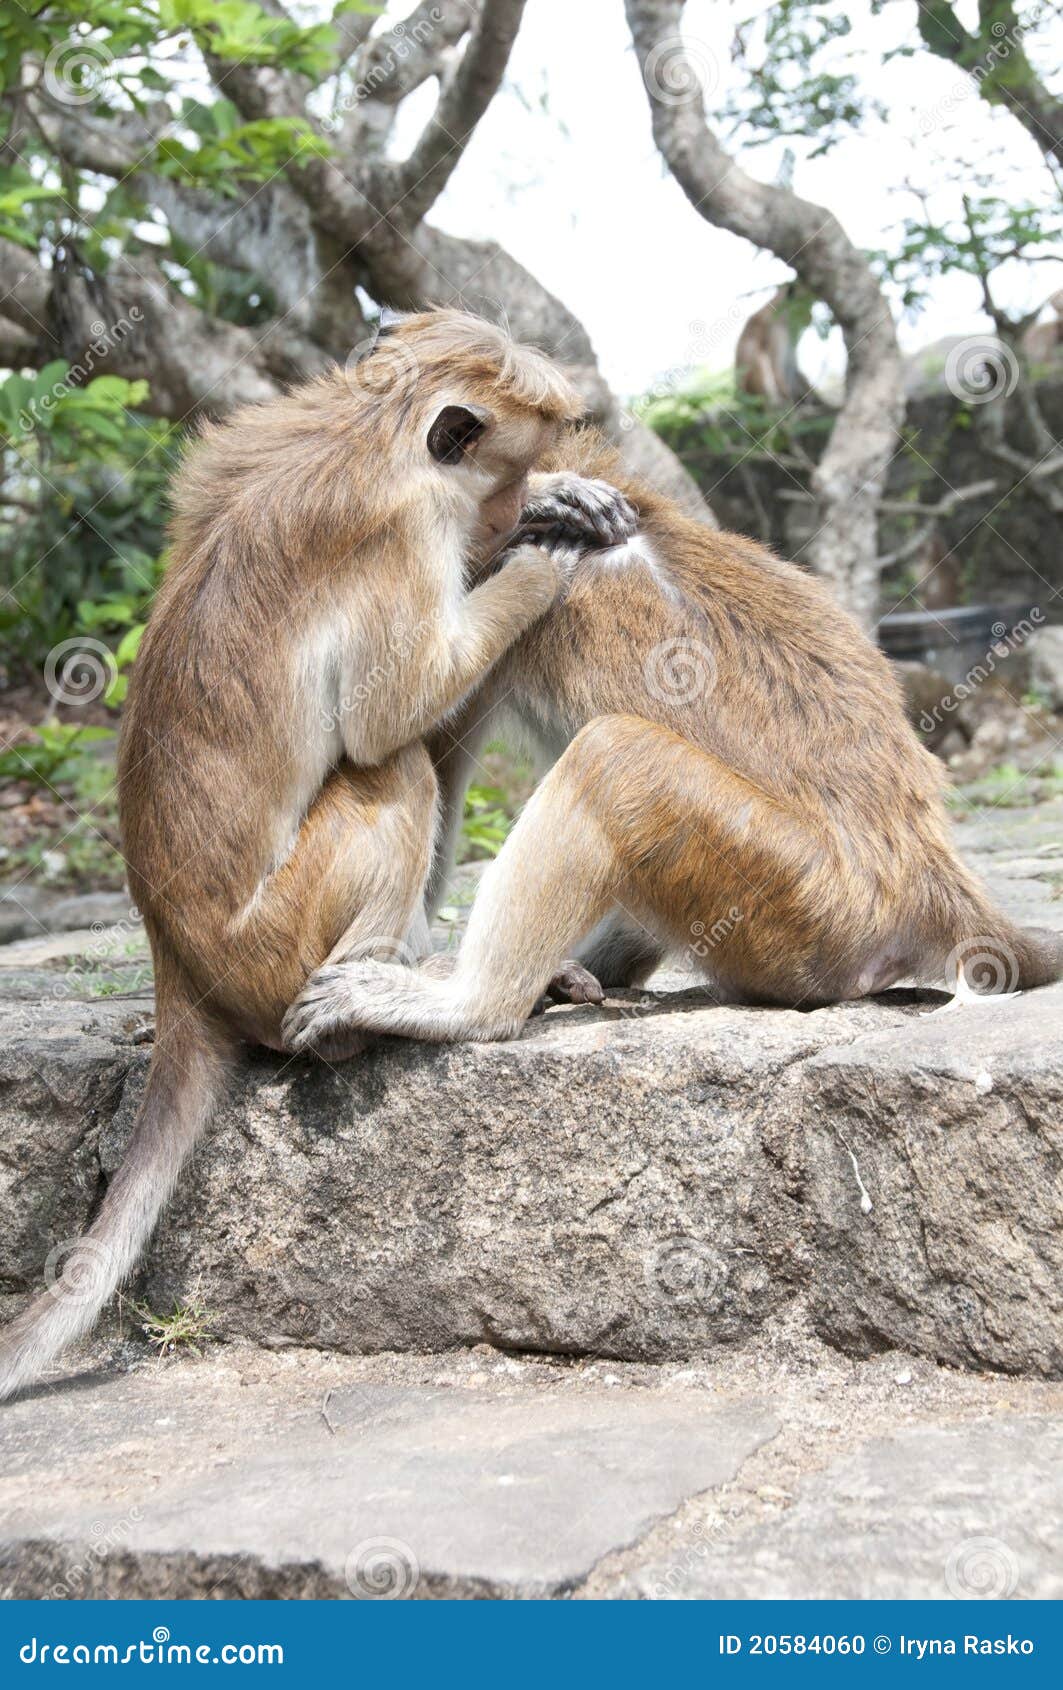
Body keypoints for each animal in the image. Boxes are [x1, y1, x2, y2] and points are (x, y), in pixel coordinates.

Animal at [0, 310, 583, 1402]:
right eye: (514, 464)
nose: (515, 507)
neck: (374, 435)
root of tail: (177, 965)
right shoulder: (403, 531)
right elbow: (387, 715)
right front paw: (539, 560)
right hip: (277, 939)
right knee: (394, 768)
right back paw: (364, 1020)